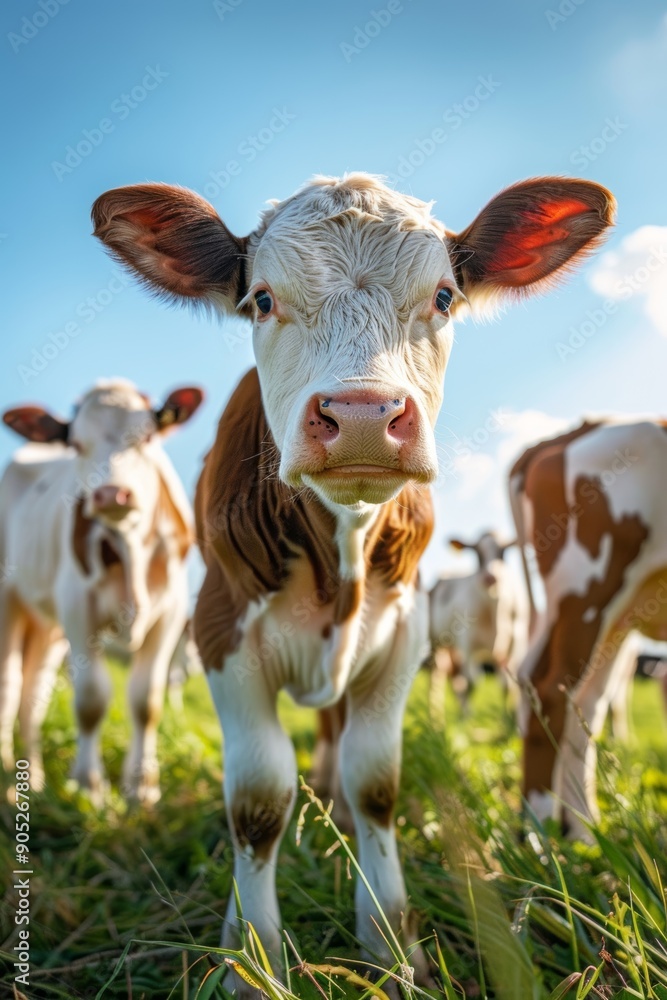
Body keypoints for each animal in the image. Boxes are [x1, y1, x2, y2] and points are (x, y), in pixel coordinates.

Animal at [0, 379, 203, 804]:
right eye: (76, 444)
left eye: (147, 437)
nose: (111, 495)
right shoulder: (78, 609)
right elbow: (91, 700)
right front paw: (89, 786)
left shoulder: (171, 612)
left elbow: (147, 700)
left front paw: (142, 787)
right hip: (9, 600)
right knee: (8, 688)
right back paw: (8, 780)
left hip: (47, 628)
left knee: (33, 695)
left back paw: (32, 778)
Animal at [427, 531, 527, 714]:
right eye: (477, 553)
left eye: (503, 552)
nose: (490, 577)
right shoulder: (468, 642)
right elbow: (472, 681)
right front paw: (467, 718)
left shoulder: (516, 640)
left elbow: (507, 684)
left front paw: (508, 716)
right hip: (436, 642)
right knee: (437, 676)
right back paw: (436, 716)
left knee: (456, 680)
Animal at [510, 417, 667, 840]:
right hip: (586, 591)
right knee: (549, 690)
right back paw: (545, 834)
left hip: (617, 616)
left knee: (581, 705)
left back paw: (583, 829)